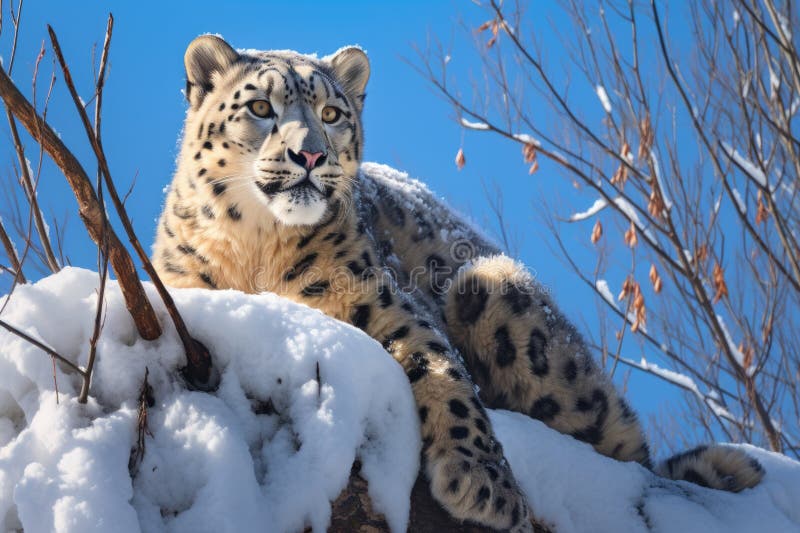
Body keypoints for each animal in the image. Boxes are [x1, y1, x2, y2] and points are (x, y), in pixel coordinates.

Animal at [152, 35, 765, 531]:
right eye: (260, 107)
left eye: (330, 112)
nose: (310, 153)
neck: (256, 250)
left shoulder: (384, 299)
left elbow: (445, 376)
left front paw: (484, 485)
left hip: (493, 290)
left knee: (624, 450)